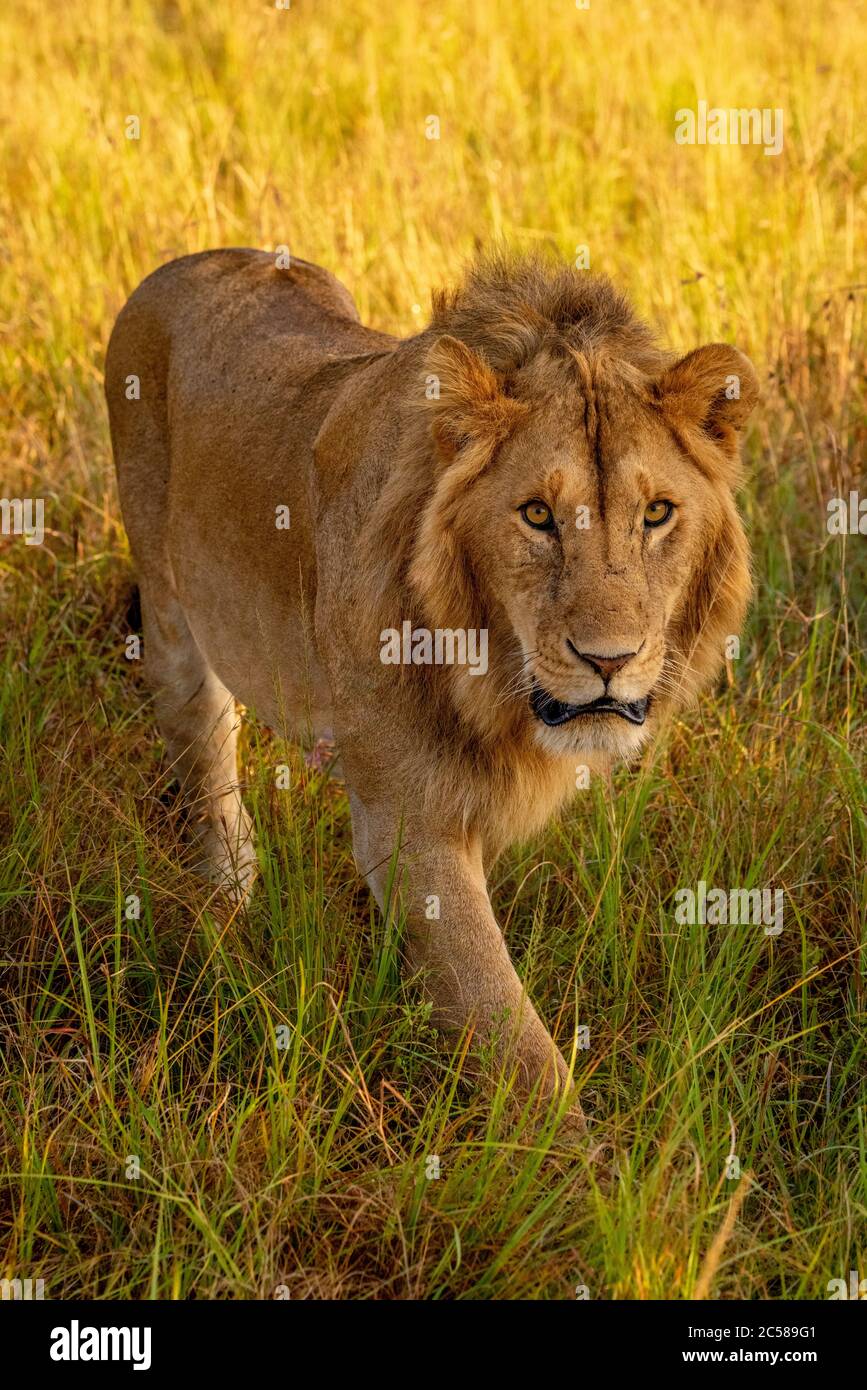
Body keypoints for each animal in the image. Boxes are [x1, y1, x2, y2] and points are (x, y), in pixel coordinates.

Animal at [105, 248, 756, 1139]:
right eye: (536, 515)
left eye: (657, 512)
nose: (609, 660)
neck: (493, 681)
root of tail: (187, 262)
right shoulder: (410, 824)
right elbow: (516, 1041)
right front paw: (586, 1173)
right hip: (171, 611)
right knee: (203, 743)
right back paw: (230, 892)